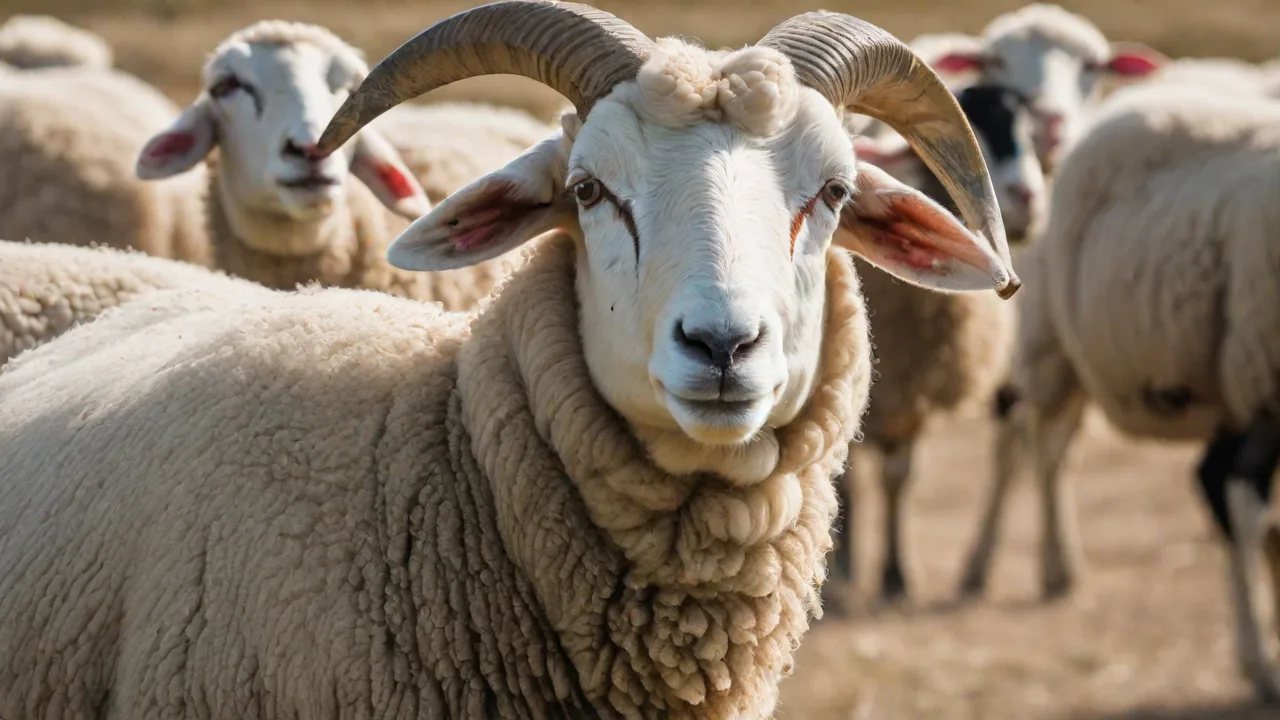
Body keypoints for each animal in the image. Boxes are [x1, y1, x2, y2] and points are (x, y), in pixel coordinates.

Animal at [825, 82, 1047, 606]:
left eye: (1031, 136)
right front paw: (843, 571)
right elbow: (849, 484)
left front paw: (895, 575)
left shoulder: (912, 394)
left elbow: (898, 477)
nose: (1029, 199)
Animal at [955, 81, 1280, 701]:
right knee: (1035, 450)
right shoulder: (1261, 380)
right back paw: (1030, 569)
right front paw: (1261, 663)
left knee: (1057, 453)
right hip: (1050, 348)